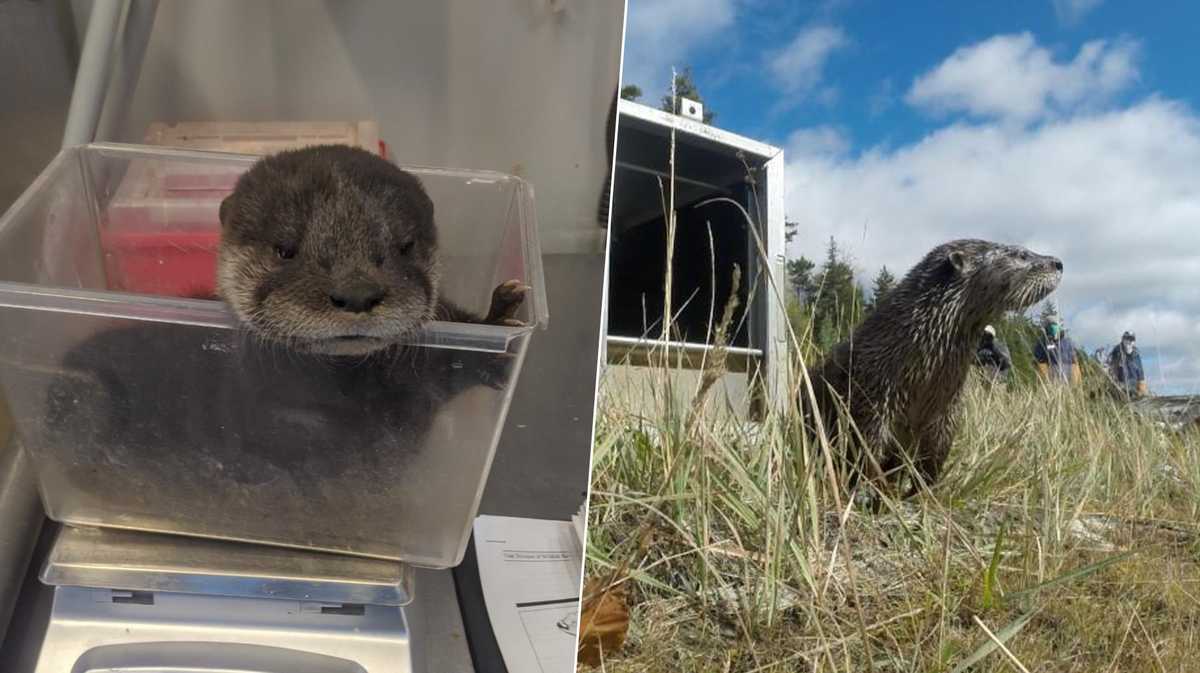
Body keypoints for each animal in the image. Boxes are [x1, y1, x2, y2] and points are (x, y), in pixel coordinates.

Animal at [807, 239, 1062, 499]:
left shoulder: (947, 410)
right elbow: (864, 448)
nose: (1058, 263)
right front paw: (867, 492)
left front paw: (923, 494)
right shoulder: (869, 394)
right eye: (1020, 254)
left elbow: (934, 457)